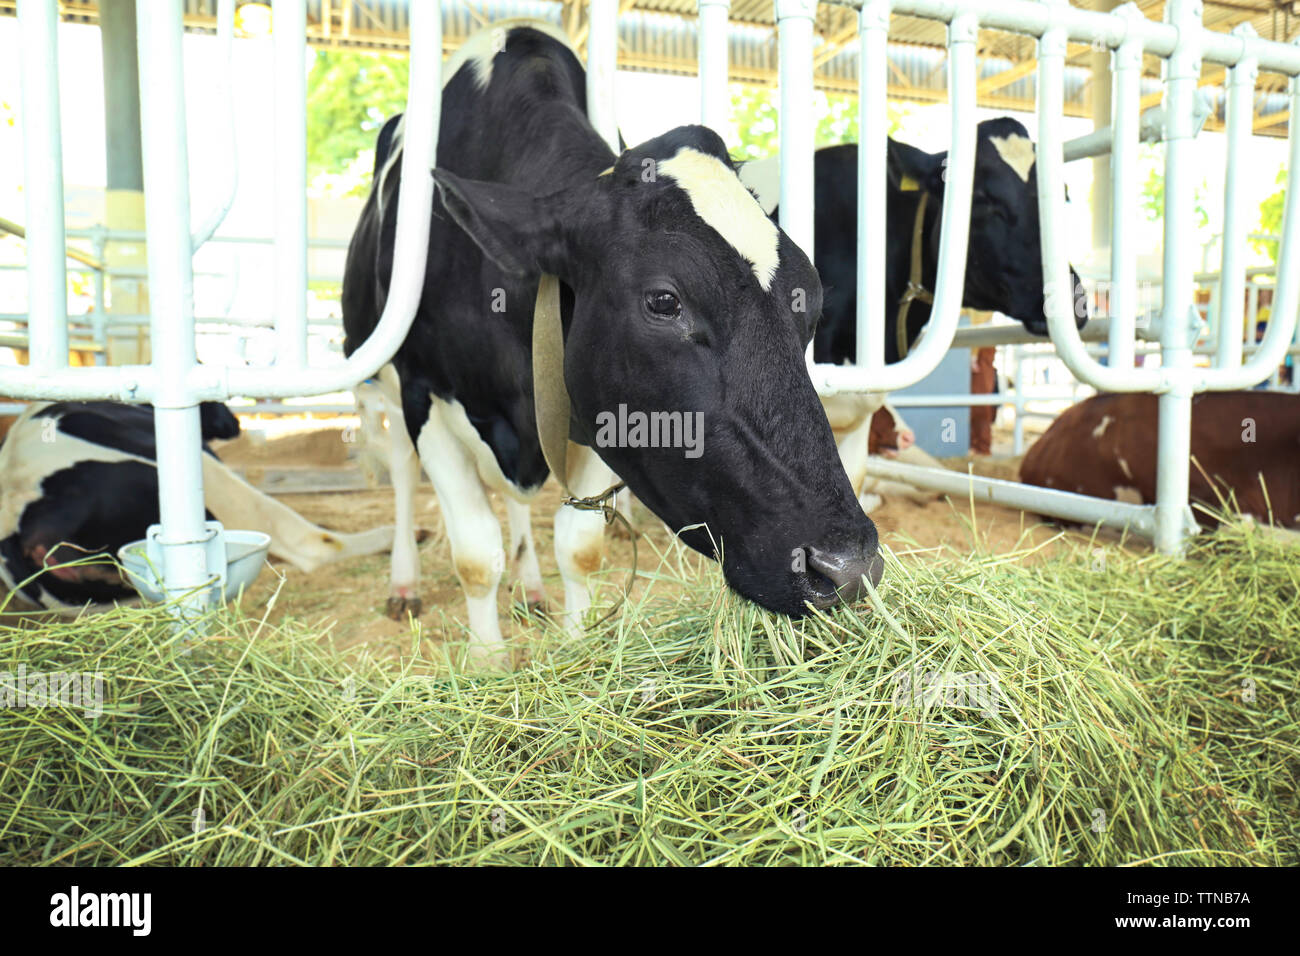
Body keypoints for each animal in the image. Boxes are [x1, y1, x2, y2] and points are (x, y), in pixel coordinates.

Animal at [342, 20, 882, 666]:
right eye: (664, 301)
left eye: (813, 301)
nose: (848, 567)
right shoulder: (426, 395)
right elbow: (475, 555)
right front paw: (489, 663)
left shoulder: (595, 410)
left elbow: (579, 549)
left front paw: (575, 643)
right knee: (401, 469)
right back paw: (405, 583)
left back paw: (530, 588)